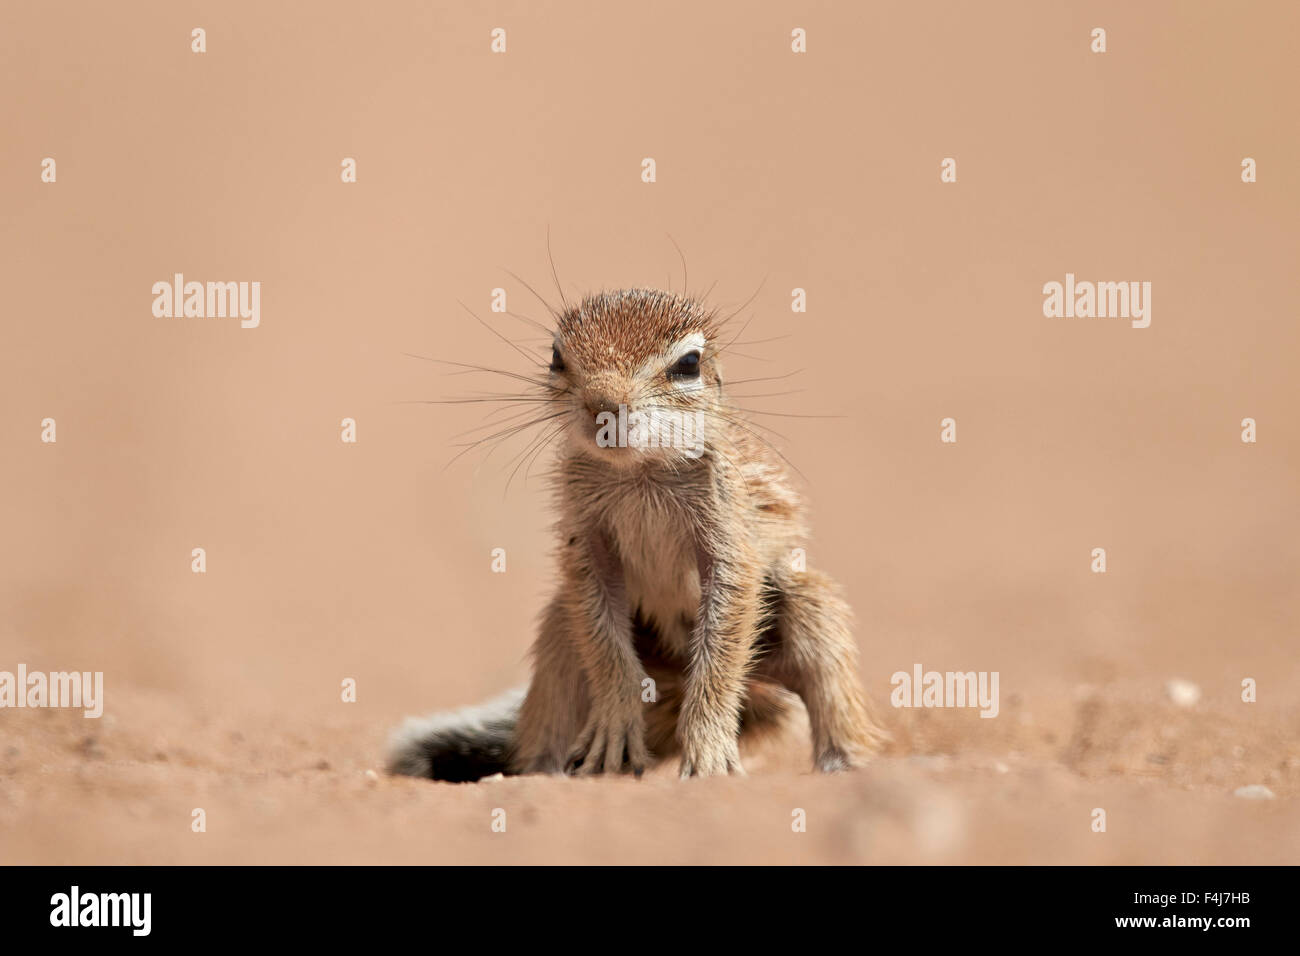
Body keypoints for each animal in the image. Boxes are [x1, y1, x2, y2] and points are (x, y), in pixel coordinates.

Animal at [388, 288, 884, 780]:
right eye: (556, 356)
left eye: (689, 363)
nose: (603, 403)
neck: (639, 473)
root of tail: (671, 676)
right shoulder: (586, 539)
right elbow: (605, 644)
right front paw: (616, 726)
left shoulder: (728, 534)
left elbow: (723, 644)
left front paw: (708, 753)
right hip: (561, 628)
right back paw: (546, 770)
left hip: (806, 607)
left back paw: (845, 763)